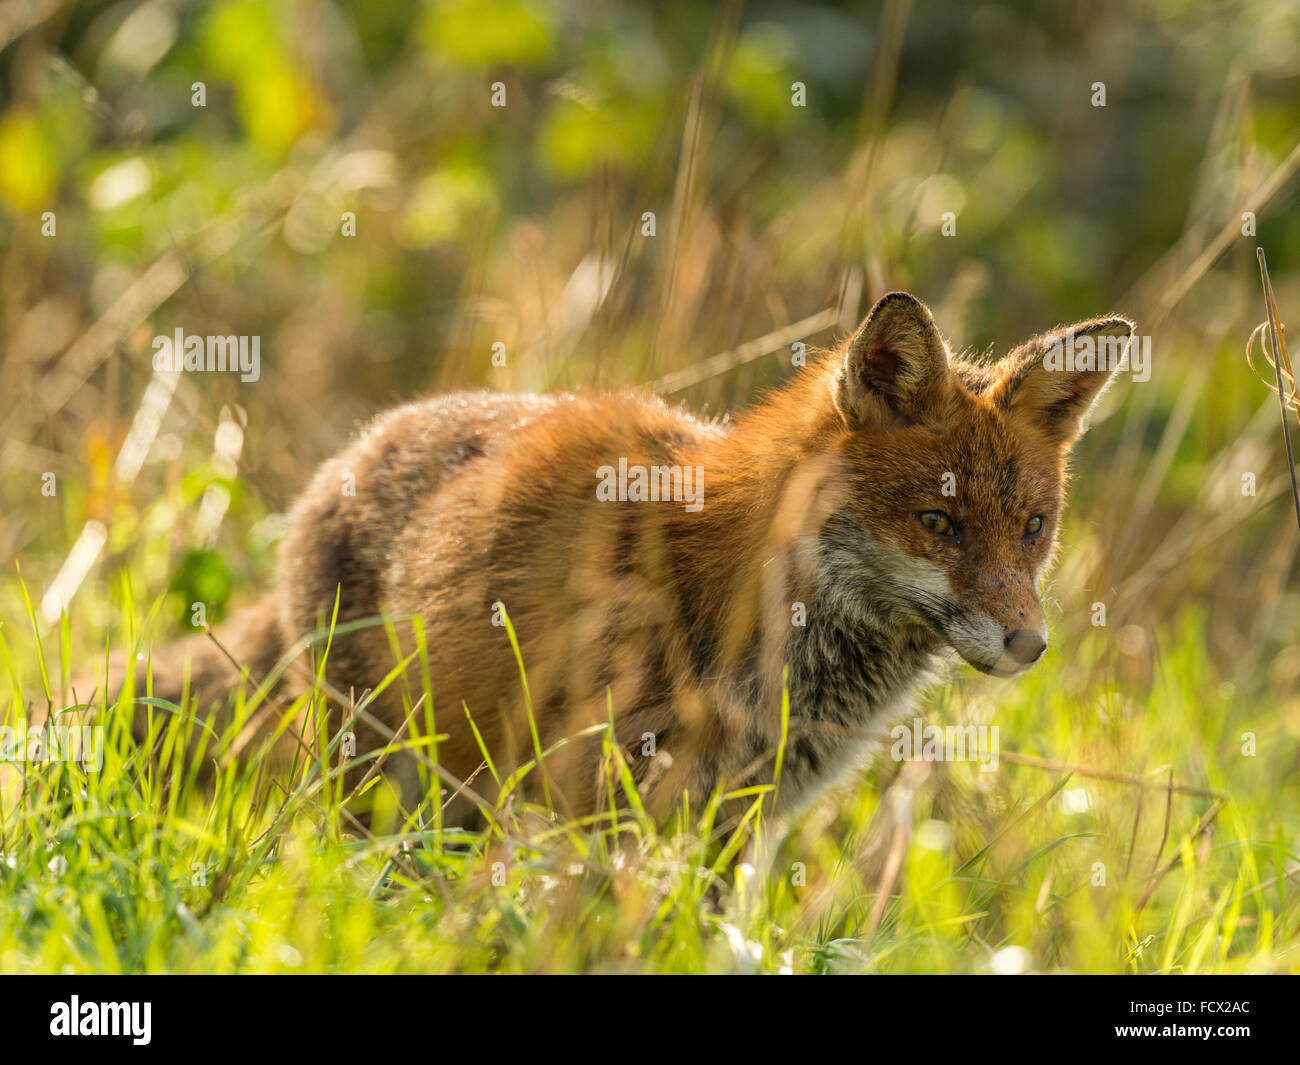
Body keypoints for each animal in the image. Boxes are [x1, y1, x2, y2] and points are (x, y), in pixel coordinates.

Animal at [79, 291, 1133, 825]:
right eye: (937, 523)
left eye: (1033, 527)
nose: (1029, 645)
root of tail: (345, 455)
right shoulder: (601, 792)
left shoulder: (739, 824)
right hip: (379, 774)